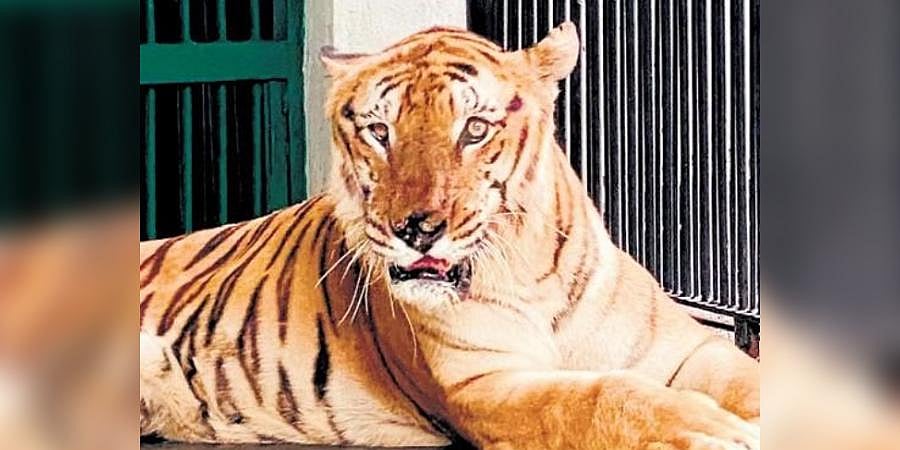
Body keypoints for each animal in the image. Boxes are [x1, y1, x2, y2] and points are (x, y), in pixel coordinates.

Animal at [140, 23, 760, 449]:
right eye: (379, 131)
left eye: (475, 129)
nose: (417, 229)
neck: (531, 271)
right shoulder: (484, 385)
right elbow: (595, 396)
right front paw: (712, 430)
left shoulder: (686, 352)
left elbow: (747, 377)